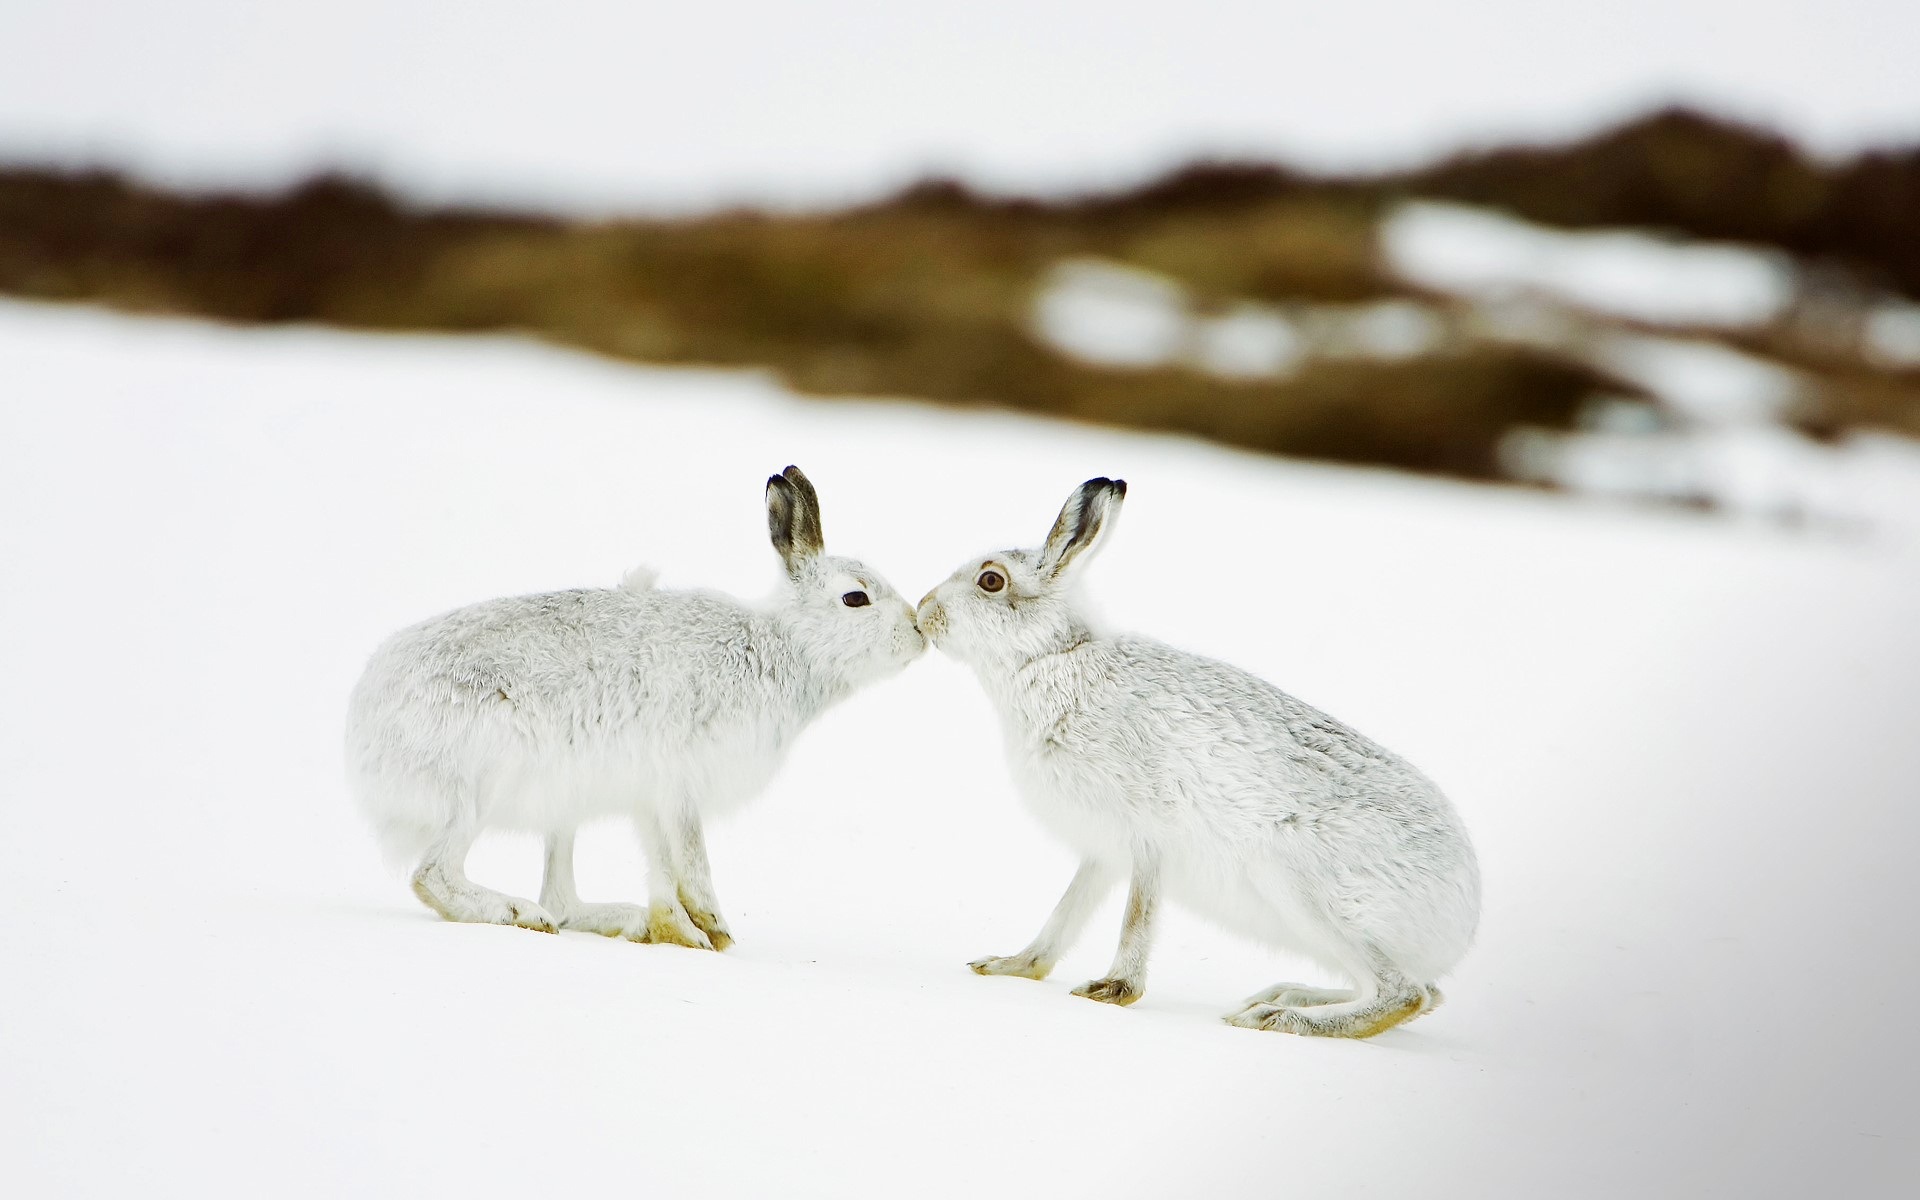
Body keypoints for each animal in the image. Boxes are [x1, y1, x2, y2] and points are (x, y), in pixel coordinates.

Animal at [345, 465, 925, 948]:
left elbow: (663, 862)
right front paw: (713, 932)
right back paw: (519, 913)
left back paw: (624, 921)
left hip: (562, 807)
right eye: (856, 598)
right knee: (434, 876)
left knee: (562, 897)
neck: (783, 646)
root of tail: (363, 746)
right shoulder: (679, 782)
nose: (918, 632)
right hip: (481, 782)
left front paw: (680, 930)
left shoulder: (651, 795)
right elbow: (691, 860)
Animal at [915, 478, 1479, 1037]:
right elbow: (1065, 912)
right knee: (1423, 994)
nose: (923, 612)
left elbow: (1137, 916)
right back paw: (1281, 995)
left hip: (1299, 882)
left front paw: (1112, 991)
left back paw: (1279, 1017)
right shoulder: (1102, 848)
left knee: (1405, 993)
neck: (1055, 655)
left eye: (991, 581)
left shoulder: (1146, 838)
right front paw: (1008, 966)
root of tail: (1464, 915)